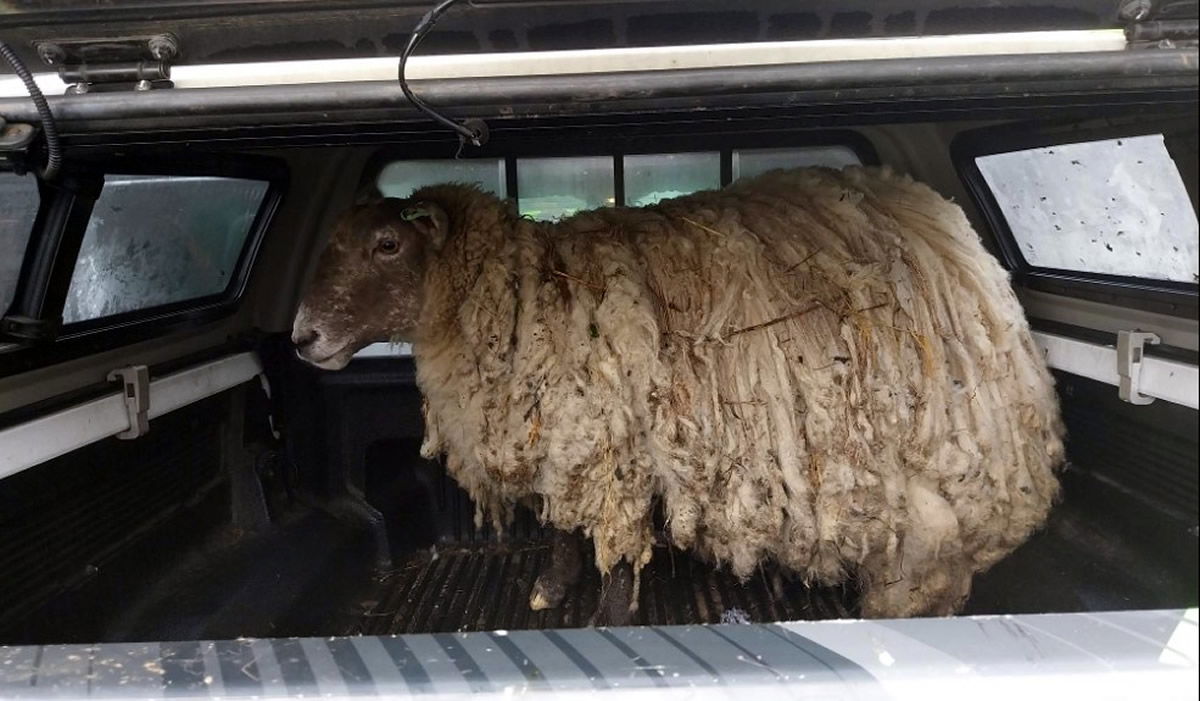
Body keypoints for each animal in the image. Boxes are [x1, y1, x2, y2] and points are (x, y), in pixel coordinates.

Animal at [292, 166, 1065, 623]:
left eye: (388, 244)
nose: (302, 337)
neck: (518, 296)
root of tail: (959, 238)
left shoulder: (612, 449)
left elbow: (611, 545)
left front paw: (607, 618)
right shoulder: (562, 439)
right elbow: (559, 528)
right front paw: (550, 589)